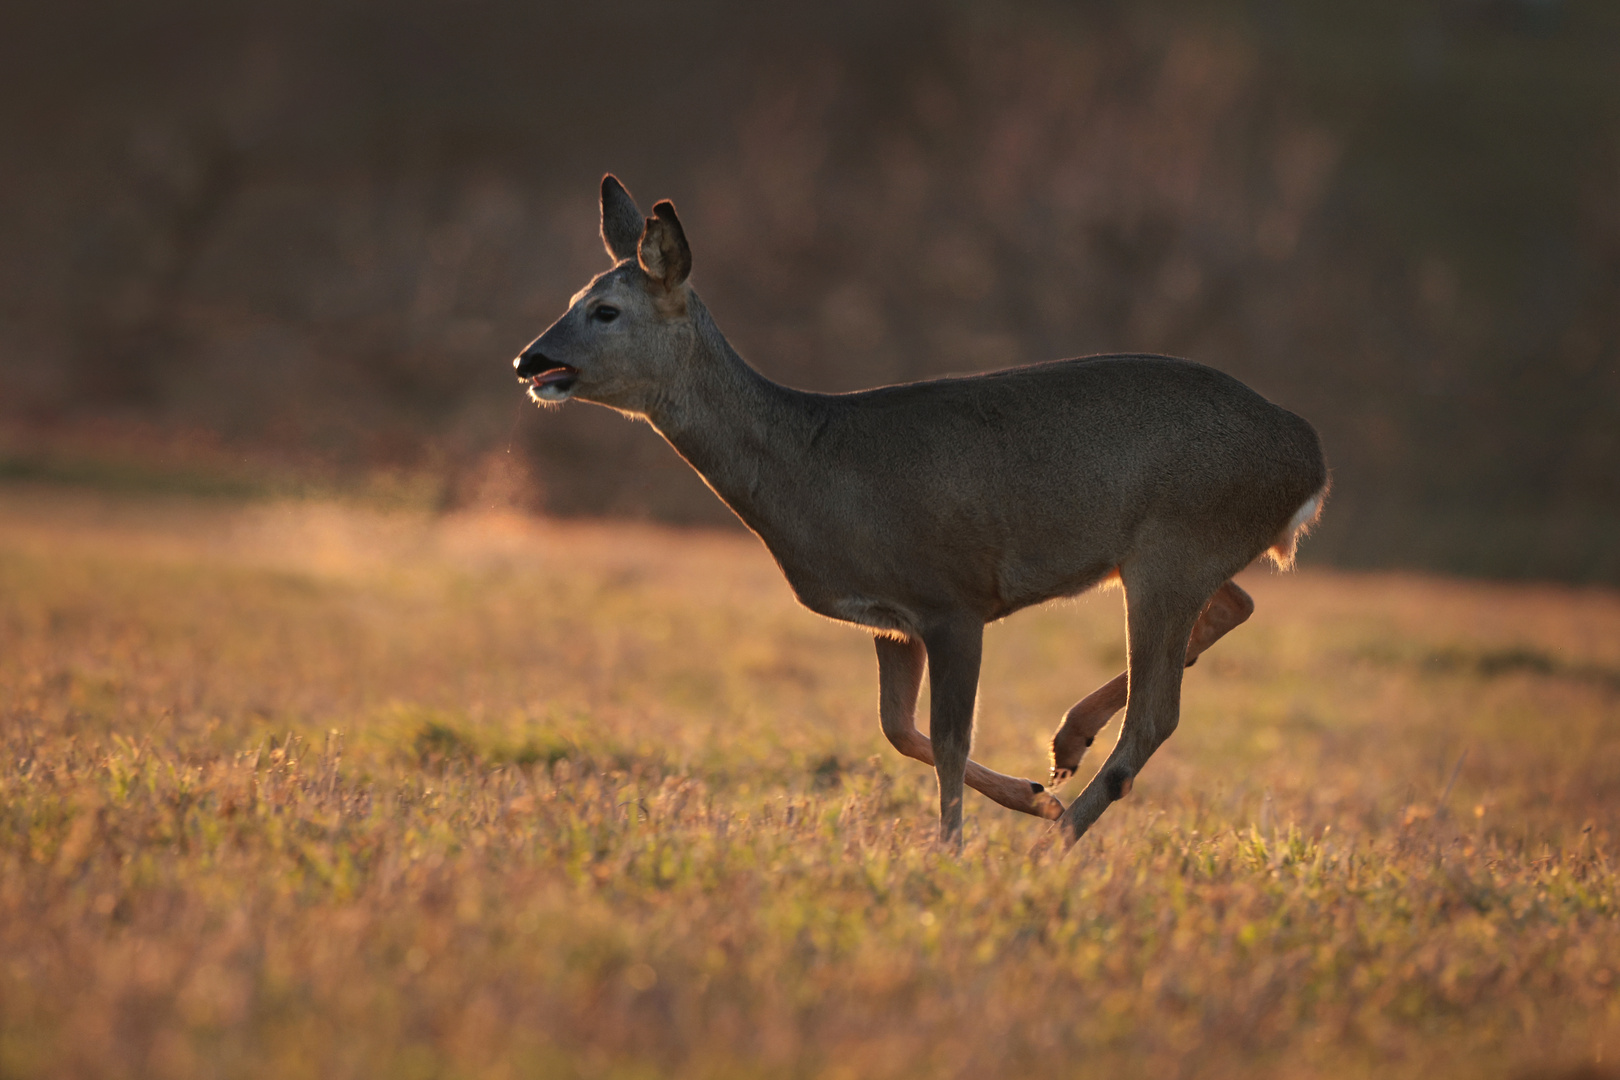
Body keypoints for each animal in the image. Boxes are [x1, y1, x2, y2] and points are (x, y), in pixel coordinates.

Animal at [513, 175, 1327, 849]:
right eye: (571, 301)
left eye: (605, 310)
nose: (530, 361)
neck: (814, 467)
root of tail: (1310, 459)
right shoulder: (891, 618)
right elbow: (898, 730)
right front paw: (1030, 795)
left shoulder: (952, 597)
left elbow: (946, 739)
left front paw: (956, 851)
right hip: (1167, 554)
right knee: (1235, 605)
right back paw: (1065, 749)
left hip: (1175, 544)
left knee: (1159, 714)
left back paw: (1056, 842)